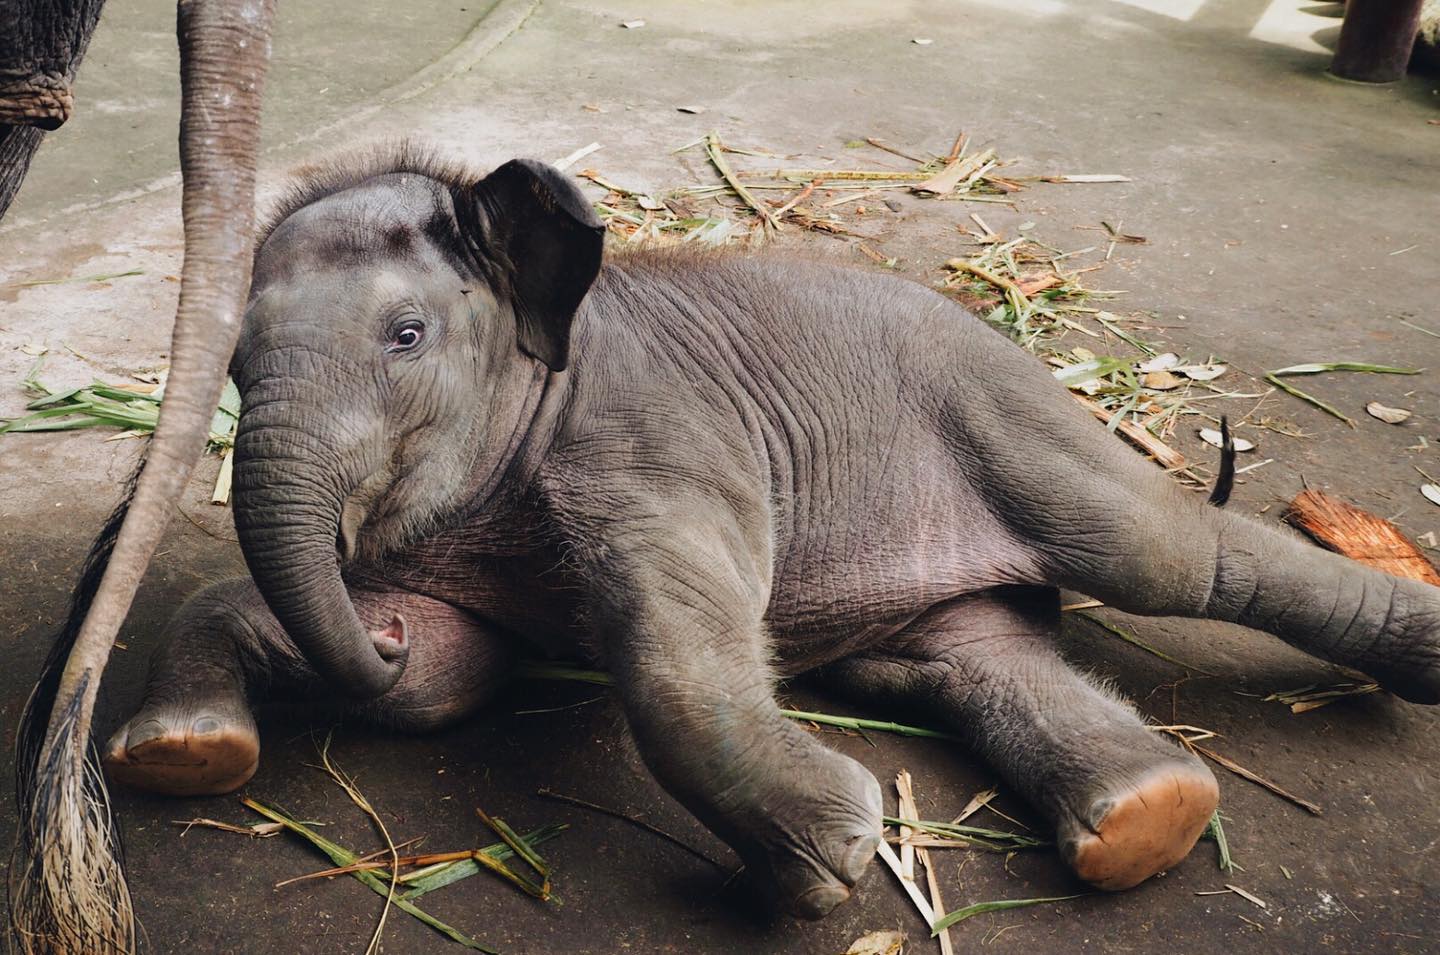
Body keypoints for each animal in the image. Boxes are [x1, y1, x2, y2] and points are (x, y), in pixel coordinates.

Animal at [96, 146, 1440, 926]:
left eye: (407, 336)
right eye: (230, 364)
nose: (362, 620)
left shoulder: (656, 429)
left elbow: (675, 642)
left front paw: (826, 862)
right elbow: (442, 684)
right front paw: (183, 754)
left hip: (1008, 420)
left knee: (1161, 552)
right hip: (926, 602)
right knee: (967, 652)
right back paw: (1146, 820)